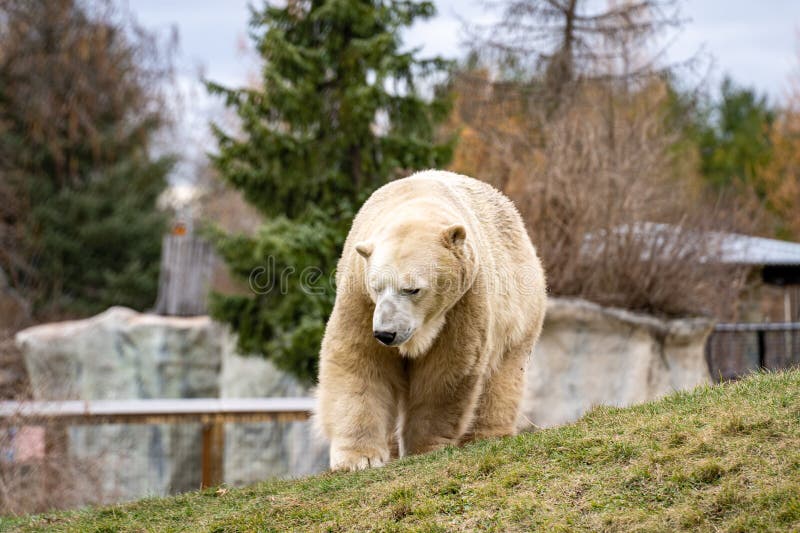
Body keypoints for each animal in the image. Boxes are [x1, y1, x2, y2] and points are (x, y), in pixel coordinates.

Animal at [316, 170, 546, 471]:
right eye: (377, 287)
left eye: (412, 289)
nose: (386, 334)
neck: (416, 201)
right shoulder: (359, 296)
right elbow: (360, 359)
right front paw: (359, 459)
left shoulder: (464, 300)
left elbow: (446, 369)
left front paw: (425, 447)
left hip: (520, 306)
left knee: (503, 374)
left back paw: (487, 435)